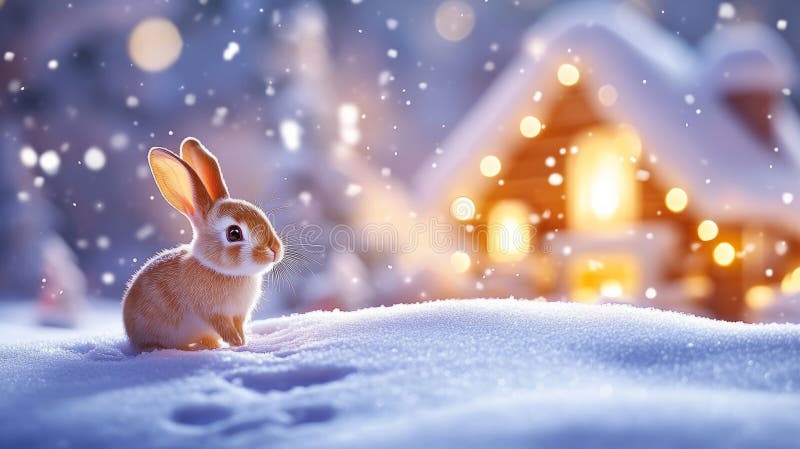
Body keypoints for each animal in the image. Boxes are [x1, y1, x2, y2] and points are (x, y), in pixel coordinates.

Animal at [123, 137, 283, 351]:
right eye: (234, 233)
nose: (275, 251)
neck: (224, 272)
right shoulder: (213, 313)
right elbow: (224, 327)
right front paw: (236, 343)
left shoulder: (239, 315)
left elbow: (239, 326)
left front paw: (242, 342)